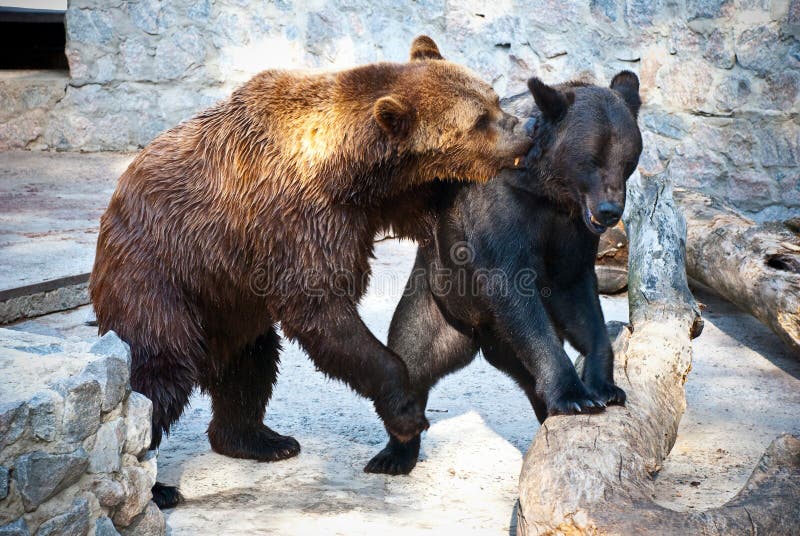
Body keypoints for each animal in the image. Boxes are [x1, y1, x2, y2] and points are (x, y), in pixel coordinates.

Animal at [89, 35, 532, 508]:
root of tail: (112, 210)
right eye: (479, 120)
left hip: (228, 307)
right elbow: (323, 313)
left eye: (494, 98)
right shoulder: (297, 221)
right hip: (161, 279)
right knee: (158, 372)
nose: (525, 130)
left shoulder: (379, 201)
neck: (348, 170)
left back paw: (262, 440)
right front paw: (407, 412)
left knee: (251, 365)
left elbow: (425, 212)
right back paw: (158, 486)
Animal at [364, 71, 643, 475]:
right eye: (590, 159)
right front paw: (575, 396)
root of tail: (477, 339)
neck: (548, 191)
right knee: (410, 360)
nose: (609, 210)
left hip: (505, 341)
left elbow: (579, 297)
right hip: (436, 300)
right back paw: (394, 453)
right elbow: (513, 287)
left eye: (628, 160)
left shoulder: (570, 232)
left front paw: (605, 386)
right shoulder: (502, 213)